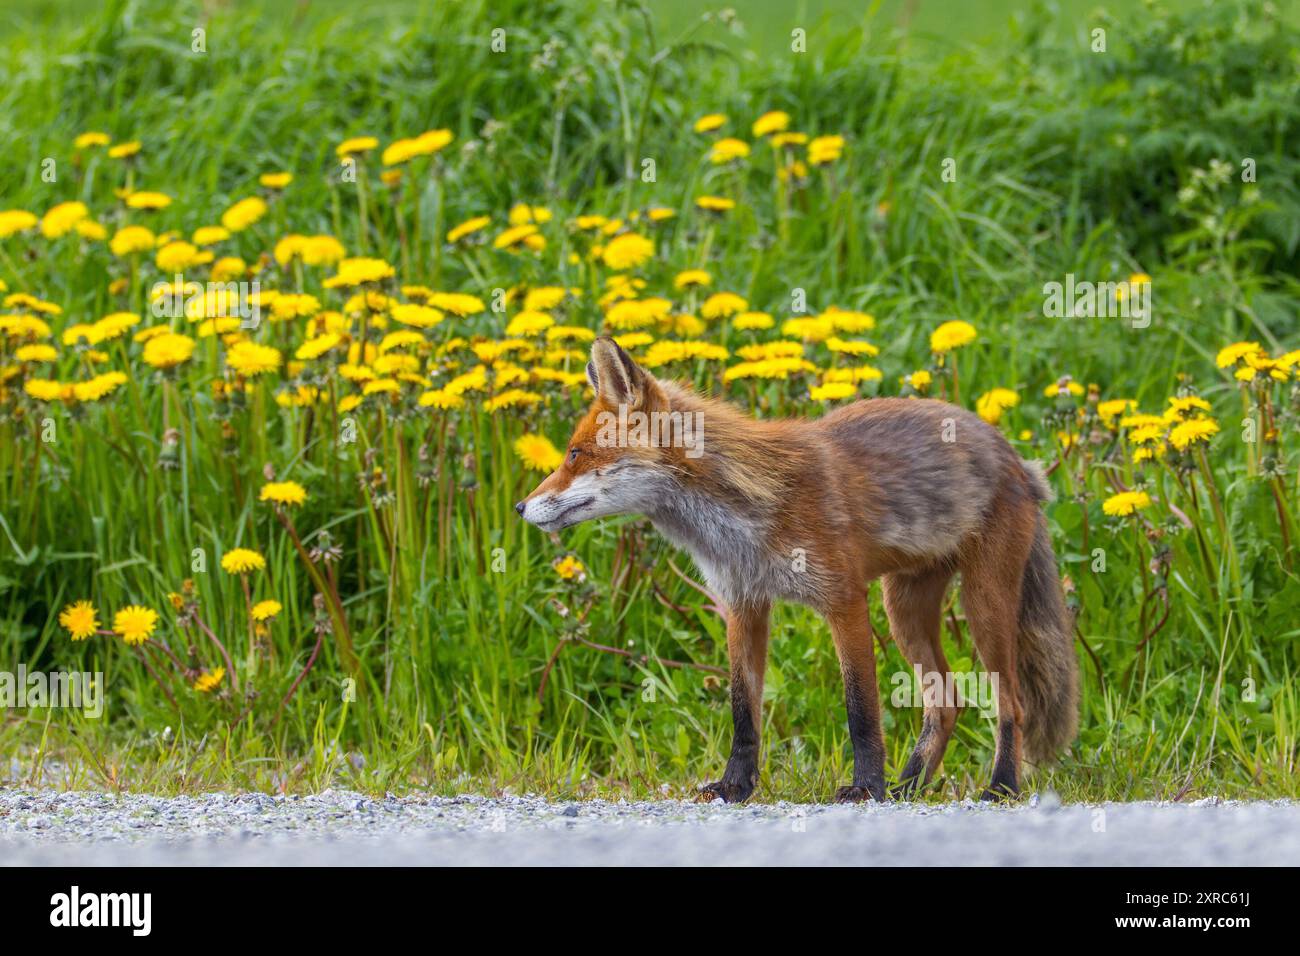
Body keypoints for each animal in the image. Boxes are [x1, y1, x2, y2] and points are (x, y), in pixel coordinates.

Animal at [516, 336, 1079, 802]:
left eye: (574, 454)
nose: (521, 507)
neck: (745, 511)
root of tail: (1014, 455)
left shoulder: (844, 598)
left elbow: (861, 711)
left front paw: (866, 787)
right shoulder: (743, 603)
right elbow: (744, 714)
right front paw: (735, 787)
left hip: (983, 603)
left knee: (1011, 705)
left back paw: (999, 787)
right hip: (904, 608)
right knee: (947, 703)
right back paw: (909, 788)